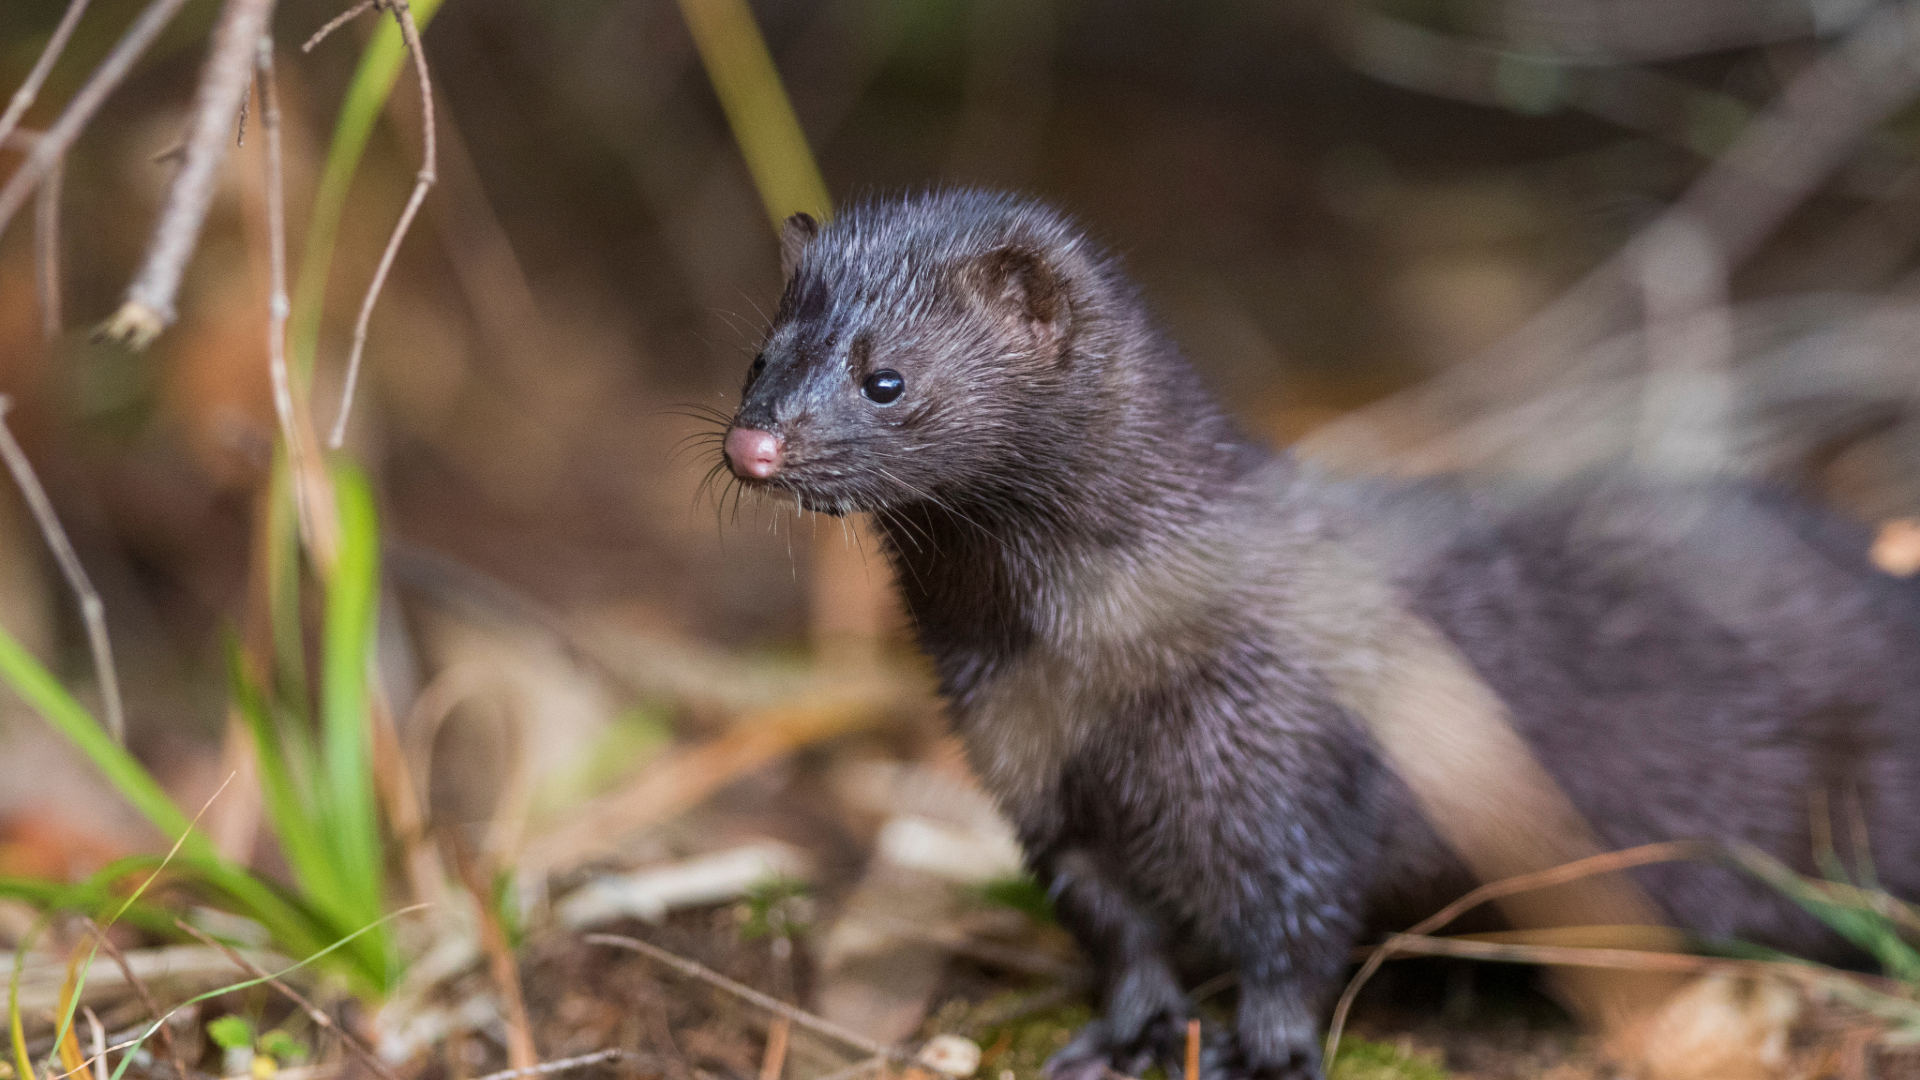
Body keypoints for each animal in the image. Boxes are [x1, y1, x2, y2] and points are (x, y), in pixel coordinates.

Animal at [715, 189, 1920, 1080]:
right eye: (761, 356)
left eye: (886, 378)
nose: (751, 445)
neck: (1073, 664)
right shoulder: (1036, 776)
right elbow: (1117, 928)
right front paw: (1121, 1038)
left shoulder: (1285, 748)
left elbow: (1295, 922)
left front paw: (1264, 1050)